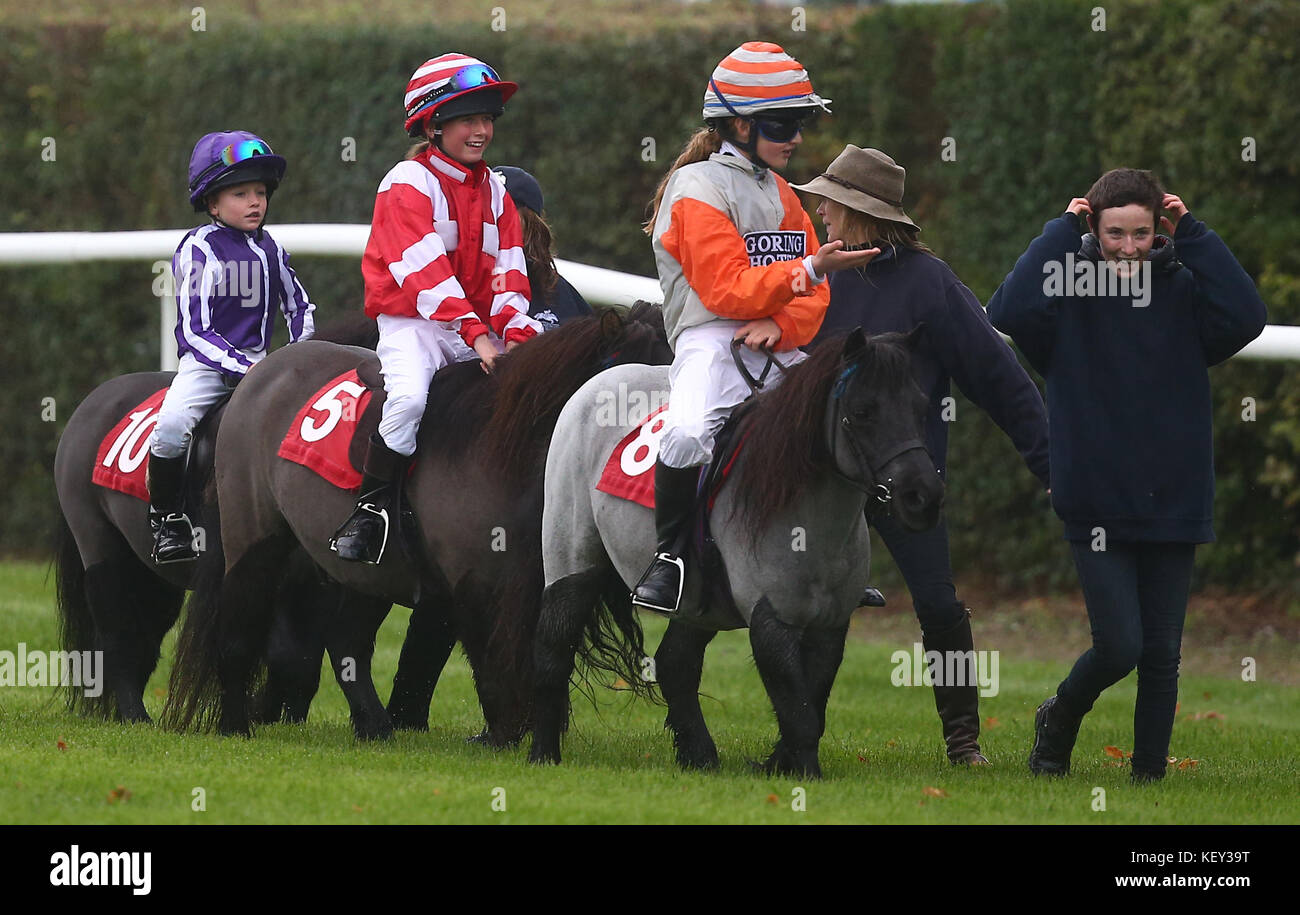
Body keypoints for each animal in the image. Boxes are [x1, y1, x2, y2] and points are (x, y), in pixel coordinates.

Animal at [50, 316, 381, 724]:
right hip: (99, 546)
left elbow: (308, 658)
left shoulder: (318, 579)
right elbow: (286, 654)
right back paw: (135, 716)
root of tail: (92, 402)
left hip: (153, 573)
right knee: (118, 636)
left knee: (144, 637)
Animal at [162, 304, 673, 744]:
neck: (499, 447)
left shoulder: (538, 581)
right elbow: (492, 668)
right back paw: (234, 725)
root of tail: (261, 376)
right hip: (254, 540)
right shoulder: (475, 587)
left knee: (345, 640)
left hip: (360, 571)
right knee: (238, 628)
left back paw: (373, 724)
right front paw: (503, 737)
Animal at [528, 327, 945, 777]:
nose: (922, 497)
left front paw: (782, 765)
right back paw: (543, 754)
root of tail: (601, 380)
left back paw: (698, 756)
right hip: (573, 565)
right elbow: (799, 712)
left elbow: (811, 706)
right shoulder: (770, 622)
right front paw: (804, 775)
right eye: (864, 411)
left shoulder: (831, 624)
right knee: (553, 651)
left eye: (920, 406)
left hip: (698, 602)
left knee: (675, 664)